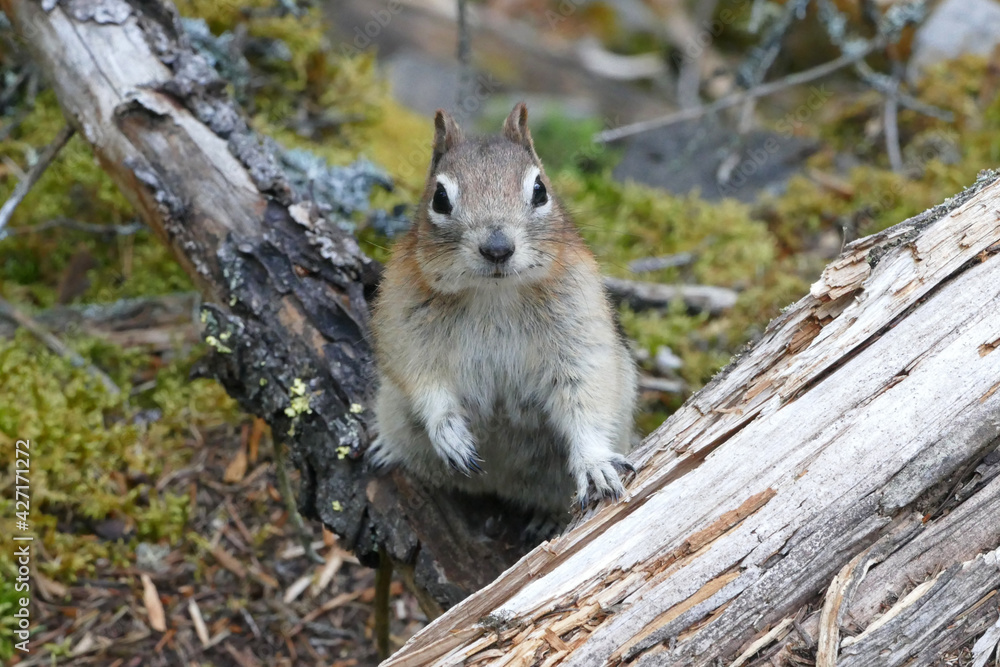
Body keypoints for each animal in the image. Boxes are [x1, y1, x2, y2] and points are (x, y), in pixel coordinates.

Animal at [367, 103, 638, 514]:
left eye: (540, 190)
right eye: (439, 198)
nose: (497, 248)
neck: (493, 294)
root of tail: (499, 485)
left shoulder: (580, 330)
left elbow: (585, 397)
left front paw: (594, 464)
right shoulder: (404, 325)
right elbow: (423, 380)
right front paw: (448, 432)